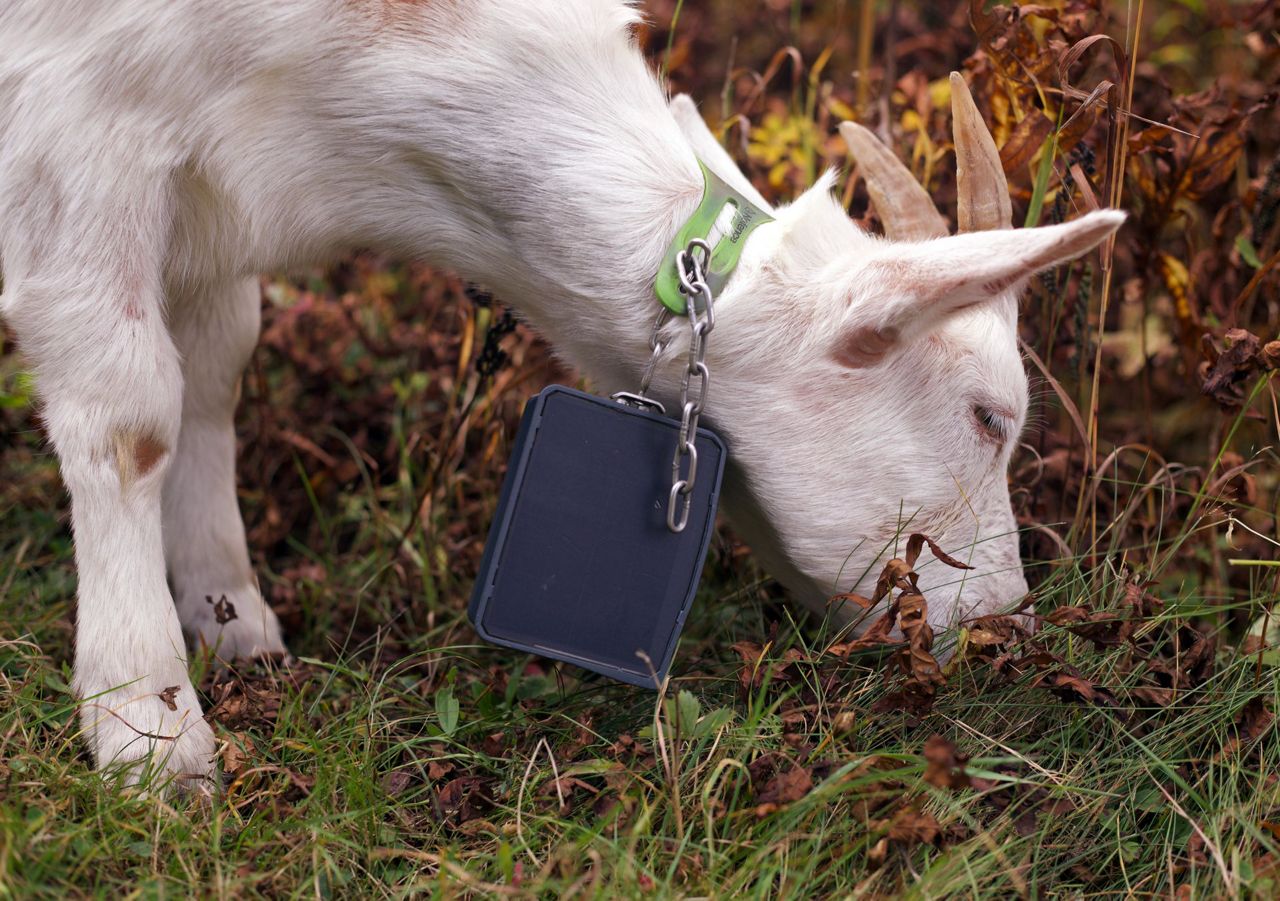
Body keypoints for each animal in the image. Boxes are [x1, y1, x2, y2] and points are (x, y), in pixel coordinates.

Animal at [0, 0, 1123, 791]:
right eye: (989, 415)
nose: (1008, 633)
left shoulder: (216, 207)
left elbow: (215, 370)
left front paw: (233, 623)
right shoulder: (80, 137)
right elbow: (130, 418)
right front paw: (151, 731)